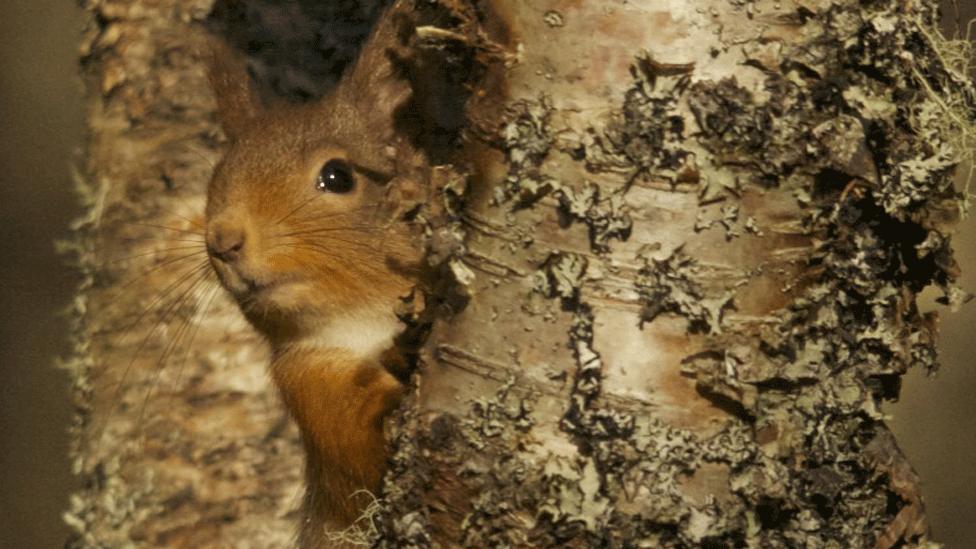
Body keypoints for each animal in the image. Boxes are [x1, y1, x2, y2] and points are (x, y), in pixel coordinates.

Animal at [203, 2, 428, 545]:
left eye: (338, 176)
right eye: (213, 180)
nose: (222, 241)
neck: (363, 323)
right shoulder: (309, 382)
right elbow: (359, 453)